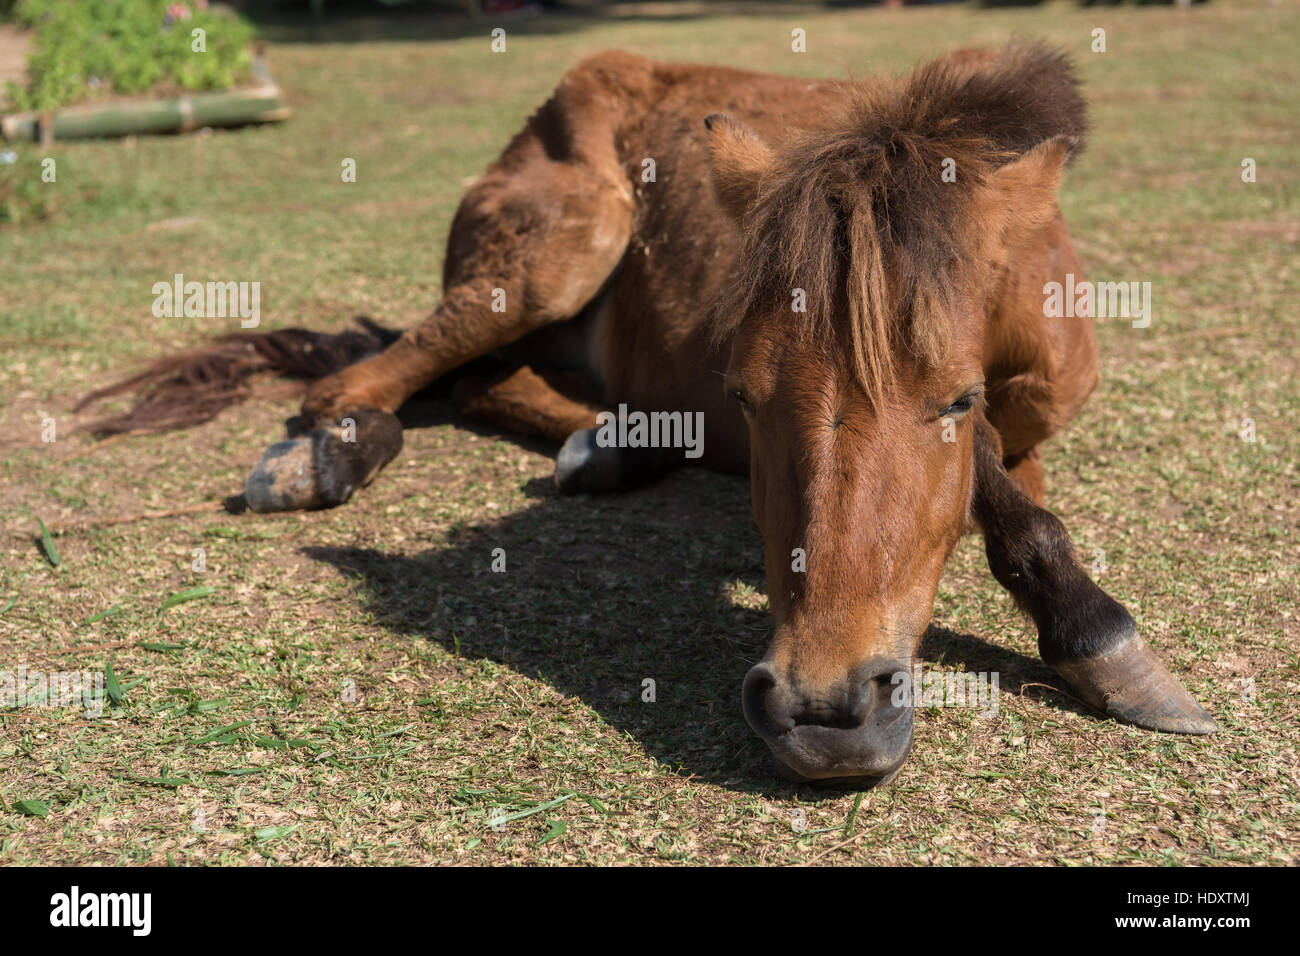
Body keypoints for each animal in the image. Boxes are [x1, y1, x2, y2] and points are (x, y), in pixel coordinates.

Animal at [78, 41, 1217, 786]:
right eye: (750, 394)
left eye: (955, 393)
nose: (825, 712)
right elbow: (1003, 502)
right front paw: (1095, 631)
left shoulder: (1022, 418)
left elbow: (1004, 494)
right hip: (559, 249)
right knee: (374, 377)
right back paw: (333, 452)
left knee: (479, 383)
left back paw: (613, 448)